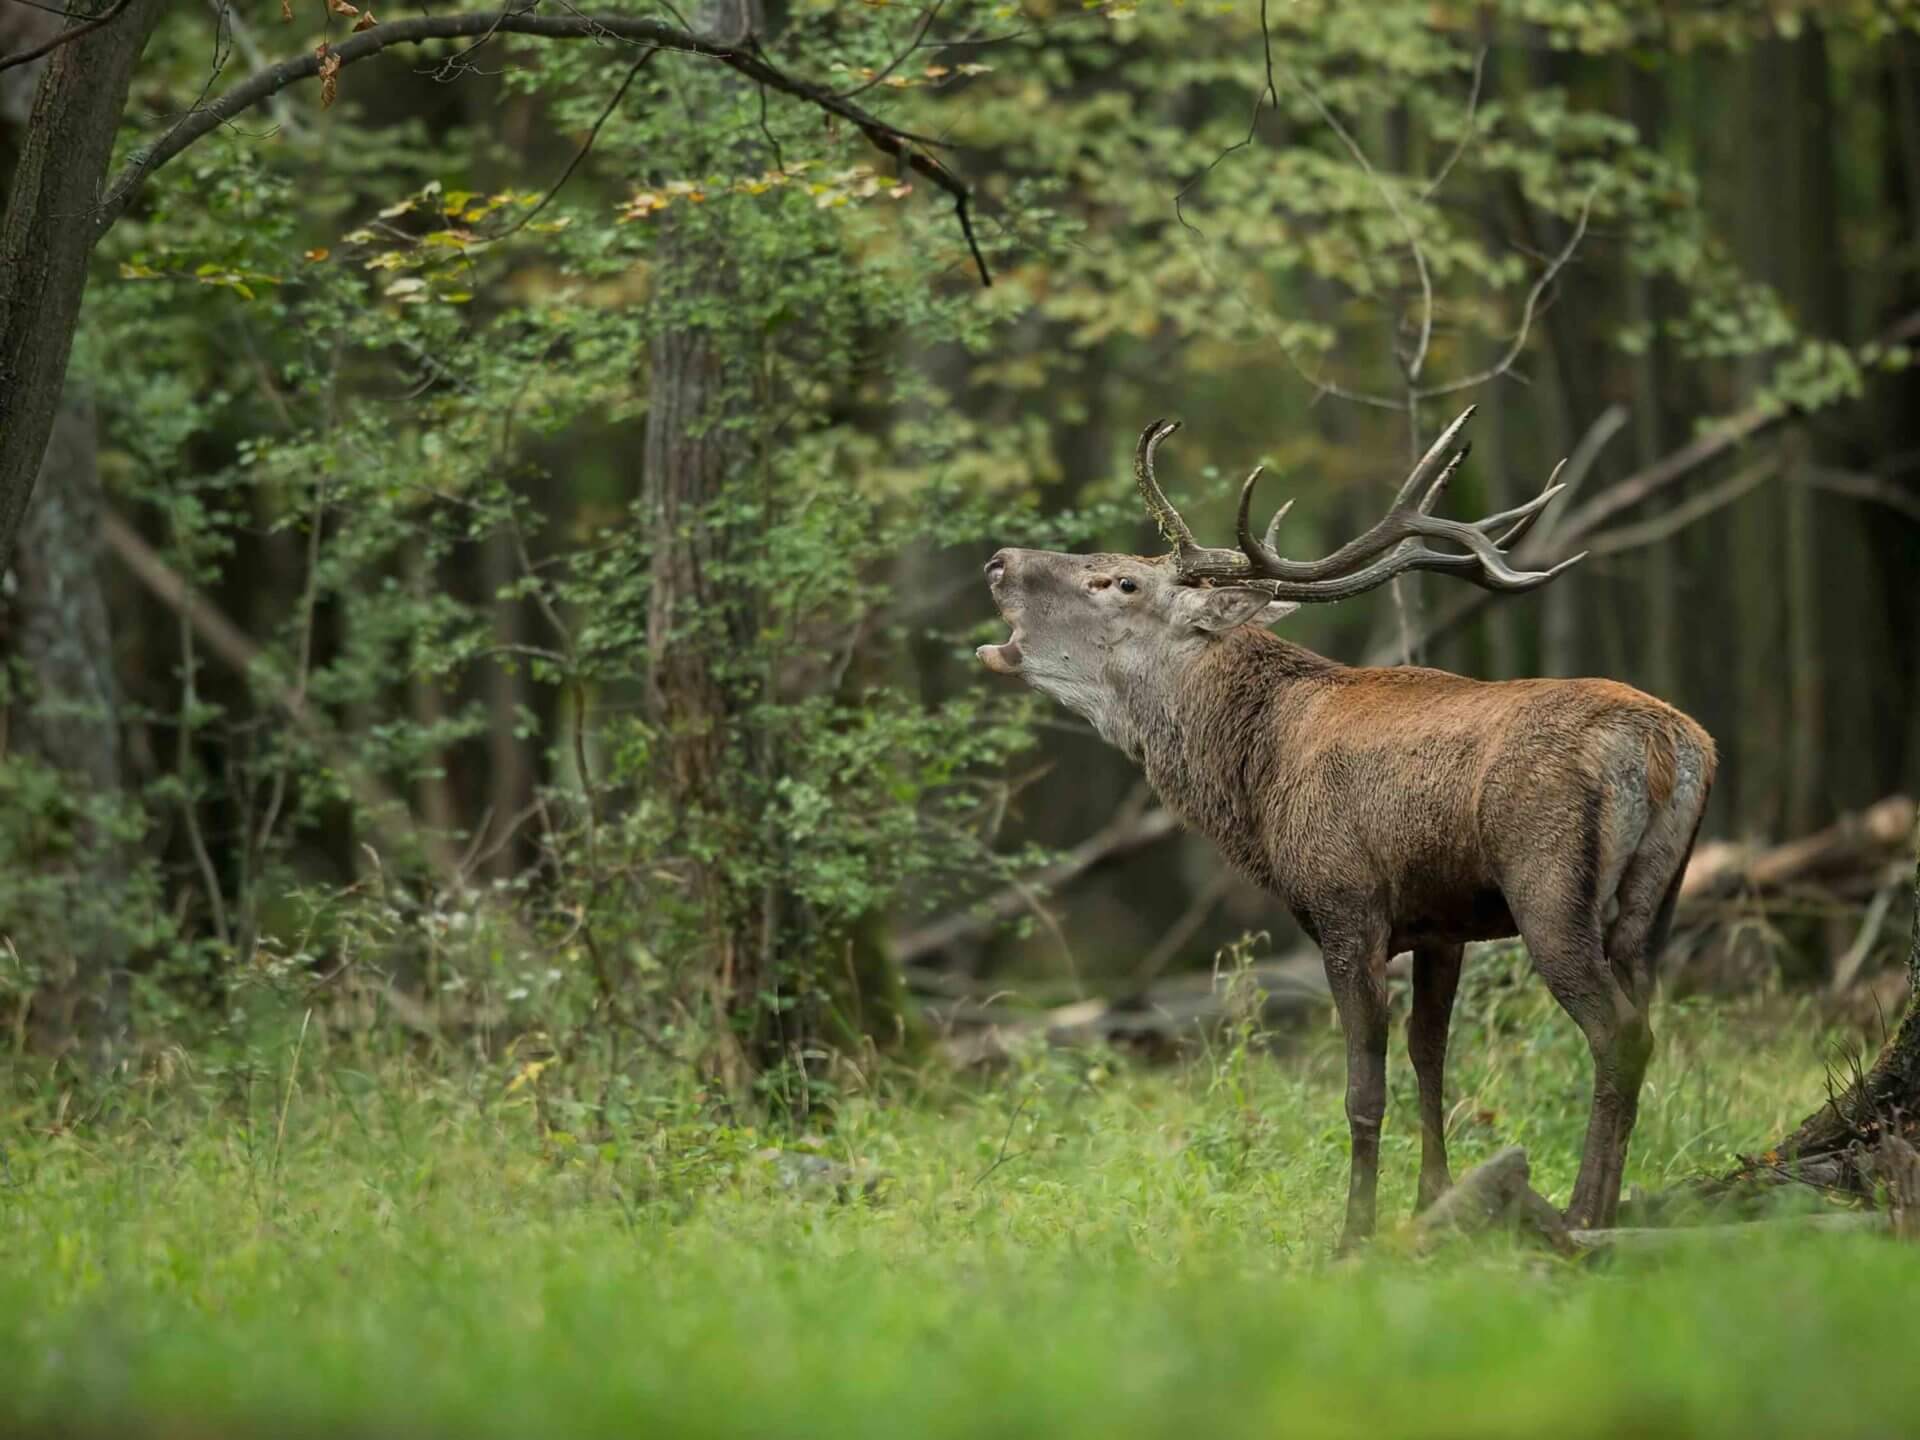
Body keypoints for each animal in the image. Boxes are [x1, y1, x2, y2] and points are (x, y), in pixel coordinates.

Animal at [977, 408, 1715, 1249]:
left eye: (1122, 581)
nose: (999, 560)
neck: (1254, 790)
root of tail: (1670, 746)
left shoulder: (1345, 904)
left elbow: (1364, 1088)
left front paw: (1354, 1233)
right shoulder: (1441, 923)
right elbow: (1431, 1059)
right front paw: (1432, 1204)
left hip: (1551, 885)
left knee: (1616, 1032)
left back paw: (1584, 1215)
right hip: (1655, 901)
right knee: (1645, 1020)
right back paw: (1612, 1207)